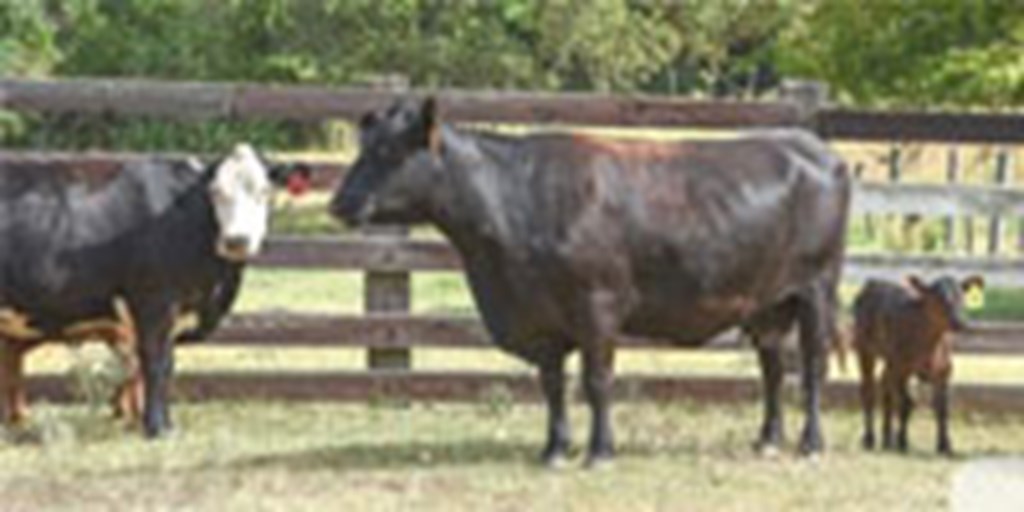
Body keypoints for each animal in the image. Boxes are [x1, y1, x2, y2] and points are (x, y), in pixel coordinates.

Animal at [0, 145, 309, 437]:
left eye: (265, 191)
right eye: (216, 192)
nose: (237, 240)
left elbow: (168, 364)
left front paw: (166, 424)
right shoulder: (155, 302)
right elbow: (156, 361)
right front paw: (157, 428)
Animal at [330, 98, 851, 466]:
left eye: (389, 151)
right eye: (364, 147)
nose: (338, 204)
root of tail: (814, 147)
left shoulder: (597, 305)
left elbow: (597, 380)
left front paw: (600, 451)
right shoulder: (540, 319)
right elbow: (553, 385)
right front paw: (554, 450)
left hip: (817, 288)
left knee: (812, 366)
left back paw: (811, 443)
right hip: (767, 303)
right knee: (773, 367)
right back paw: (767, 440)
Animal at [852, 275, 983, 455]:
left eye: (962, 297)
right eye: (938, 298)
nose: (960, 322)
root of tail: (873, 282)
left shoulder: (945, 371)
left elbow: (942, 407)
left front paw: (945, 445)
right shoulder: (901, 369)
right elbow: (907, 404)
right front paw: (902, 442)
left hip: (889, 361)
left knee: (885, 385)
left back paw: (887, 438)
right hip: (864, 348)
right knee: (868, 390)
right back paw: (869, 438)